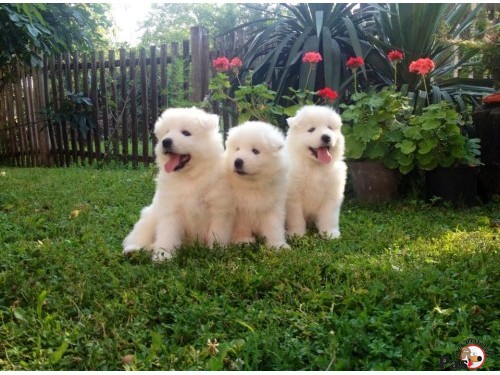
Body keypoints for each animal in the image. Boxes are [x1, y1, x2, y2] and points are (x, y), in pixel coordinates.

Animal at [122, 106, 233, 262]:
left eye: (186, 133)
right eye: (167, 132)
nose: (166, 141)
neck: (189, 178)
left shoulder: (218, 210)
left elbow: (217, 233)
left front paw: (216, 251)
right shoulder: (171, 210)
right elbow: (167, 235)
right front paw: (163, 256)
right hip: (149, 217)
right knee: (138, 236)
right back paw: (133, 250)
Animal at [224, 121, 290, 250]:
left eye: (255, 151)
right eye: (237, 149)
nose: (237, 161)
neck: (252, 185)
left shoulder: (273, 207)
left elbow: (274, 228)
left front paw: (278, 245)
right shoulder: (239, 210)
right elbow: (241, 227)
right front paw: (242, 240)